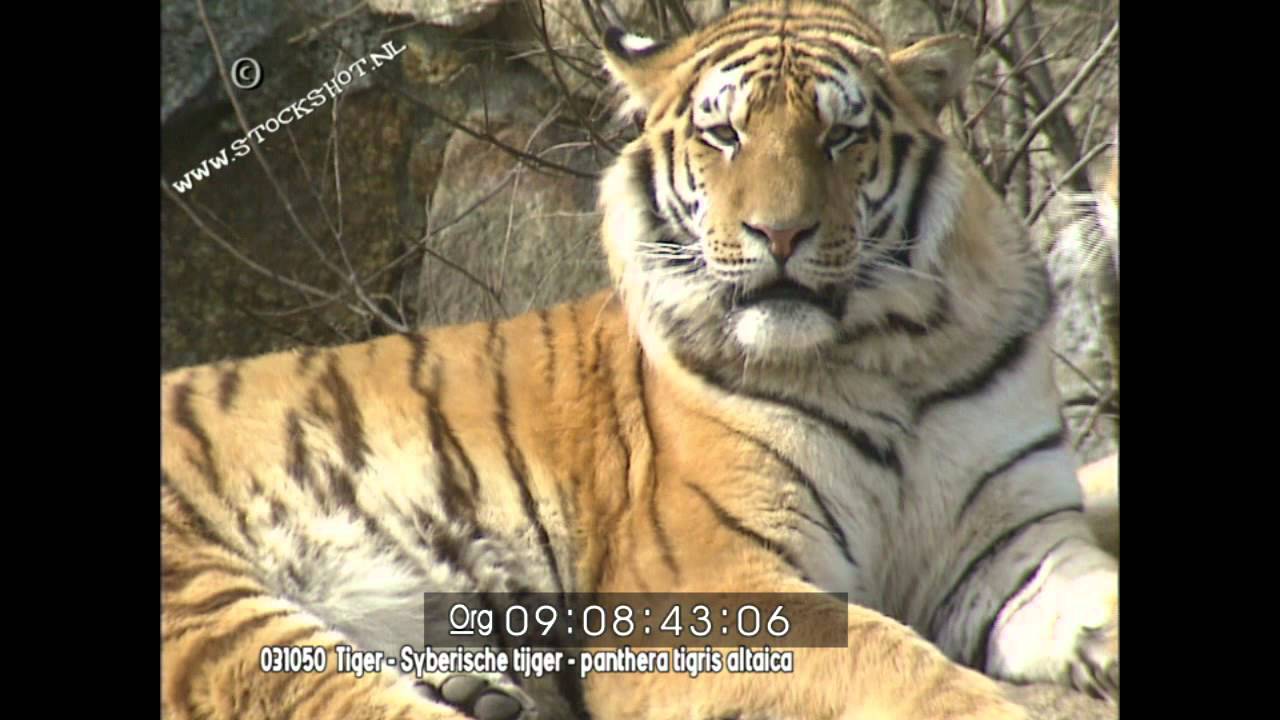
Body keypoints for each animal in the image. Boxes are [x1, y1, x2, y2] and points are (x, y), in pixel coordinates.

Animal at [161, 2, 1119, 719]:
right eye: (725, 135)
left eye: (841, 137)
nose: (780, 233)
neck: (887, 353)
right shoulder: (716, 585)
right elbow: (903, 669)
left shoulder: (1012, 546)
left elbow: (1094, 597)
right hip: (210, 607)